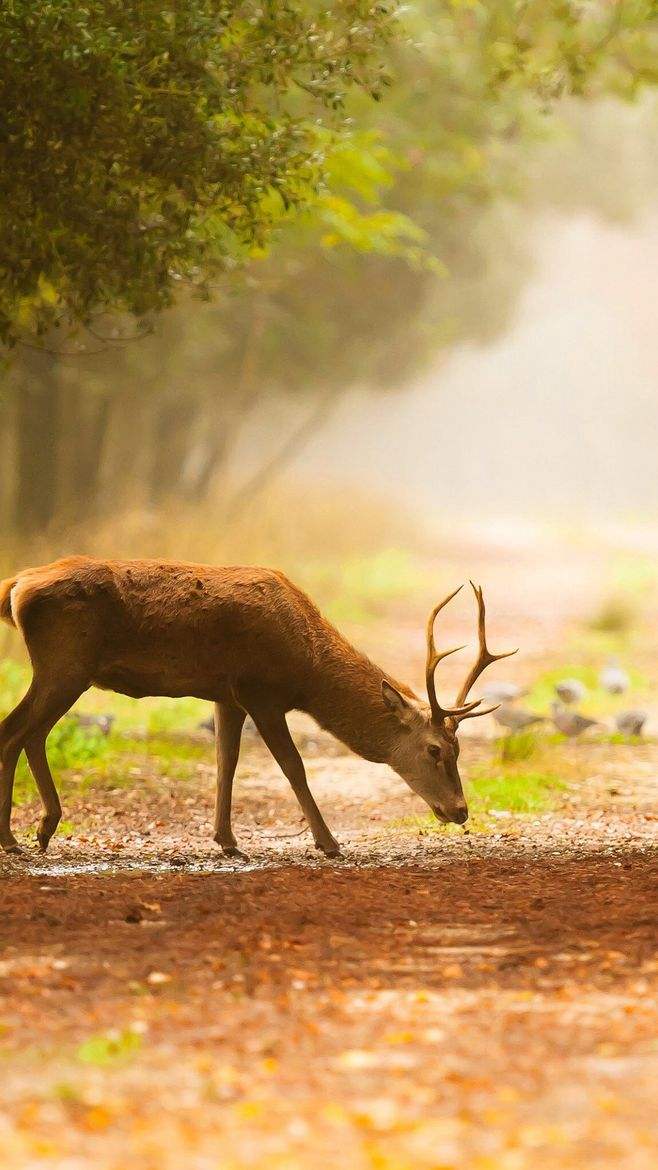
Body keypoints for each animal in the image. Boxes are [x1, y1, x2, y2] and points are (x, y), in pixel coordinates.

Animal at [0, 552, 512, 856]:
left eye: (460, 750)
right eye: (435, 749)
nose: (460, 810)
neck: (306, 671)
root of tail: (17, 584)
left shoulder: (227, 696)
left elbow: (225, 762)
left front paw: (227, 841)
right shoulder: (261, 692)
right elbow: (293, 766)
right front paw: (328, 842)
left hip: (66, 670)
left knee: (32, 733)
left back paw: (43, 828)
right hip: (66, 662)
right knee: (15, 731)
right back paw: (12, 838)